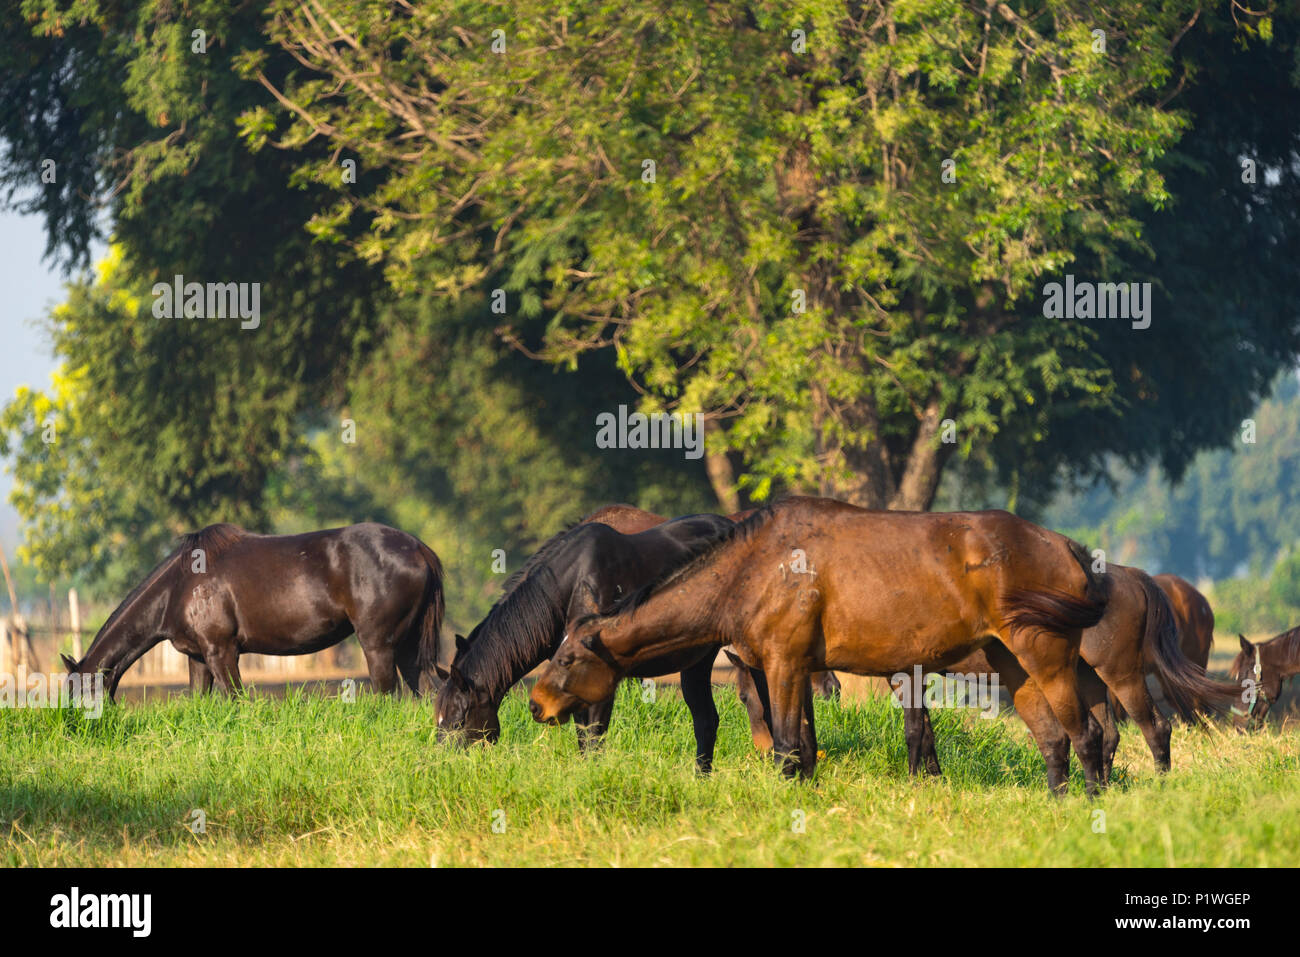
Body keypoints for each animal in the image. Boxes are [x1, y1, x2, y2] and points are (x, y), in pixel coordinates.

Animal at [60, 523, 444, 700]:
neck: (179, 585)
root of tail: (418, 549)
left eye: (77, 692)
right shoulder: (198, 658)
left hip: (378, 645)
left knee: (389, 694)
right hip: (407, 646)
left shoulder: (222, 652)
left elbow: (235, 699)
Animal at [435, 510, 765, 772]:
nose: (443, 765)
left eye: (458, 720)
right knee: (706, 719)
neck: (573, 583)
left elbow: (593, 735)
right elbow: (583, 734)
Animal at [532, 496, 1116, 795]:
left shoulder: (784, 665)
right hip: (1012, 664)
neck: (754, 566)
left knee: (1087, 735)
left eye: (568, 657)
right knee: (1052, 740)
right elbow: (806, 750)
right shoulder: (797, 670)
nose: (536, 704)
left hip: (1047, 657)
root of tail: (1066, 547)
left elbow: (788, 748)